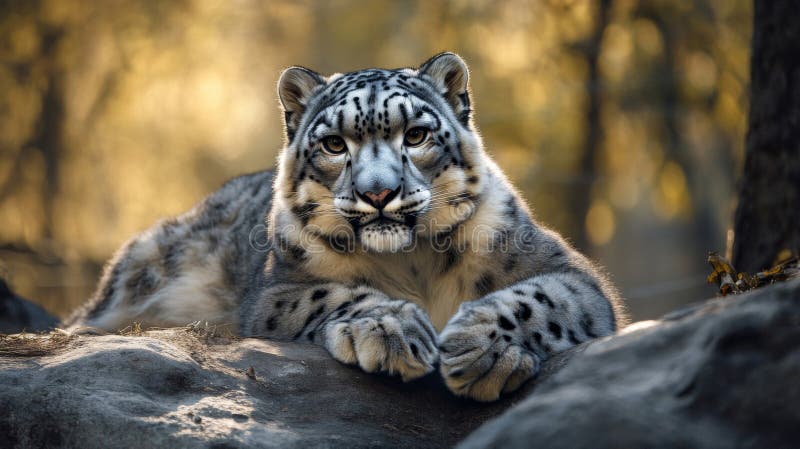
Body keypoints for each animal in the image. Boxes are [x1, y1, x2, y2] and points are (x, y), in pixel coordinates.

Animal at [67, 52, 626, 402]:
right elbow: (332, 294)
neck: (413, 263)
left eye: (416, 135)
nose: (378, 193)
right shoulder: (279, 290)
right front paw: (390, 329)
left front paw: (481, 347)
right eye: (335, 144)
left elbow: (542, 298)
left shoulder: (570, 272)